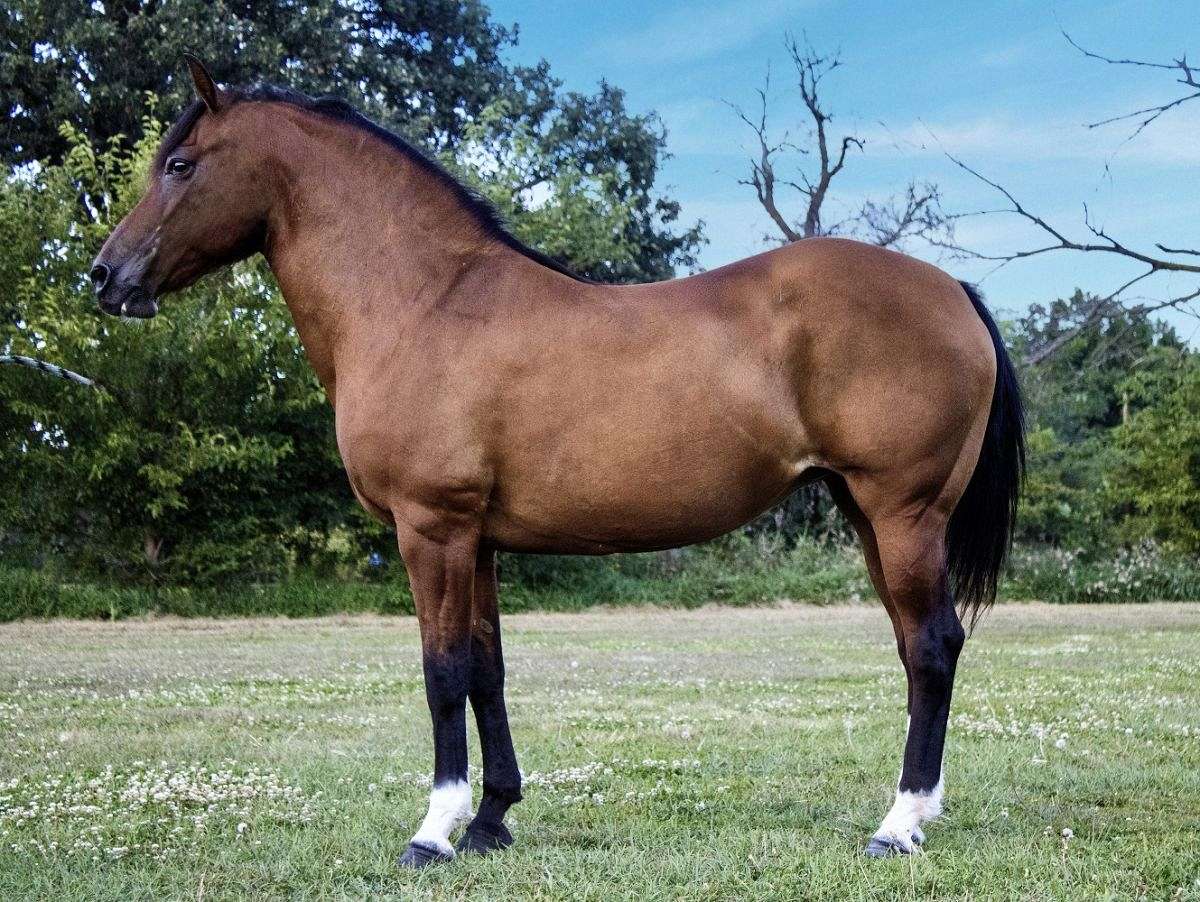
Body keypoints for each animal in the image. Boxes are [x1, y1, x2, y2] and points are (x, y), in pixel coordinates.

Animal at [91, 56, 1024, 865]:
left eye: (179, 163)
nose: (105, 275)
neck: (423, 301)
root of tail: (951, 289)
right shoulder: (478, 540)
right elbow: (487, 672)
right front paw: (491, 819)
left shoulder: (431, 529)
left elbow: (442, 673)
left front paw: (434, 833)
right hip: (866, 513)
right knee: (916, 648)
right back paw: (918, 810)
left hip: (903, 514)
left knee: (932, 646)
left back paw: (898, 824)